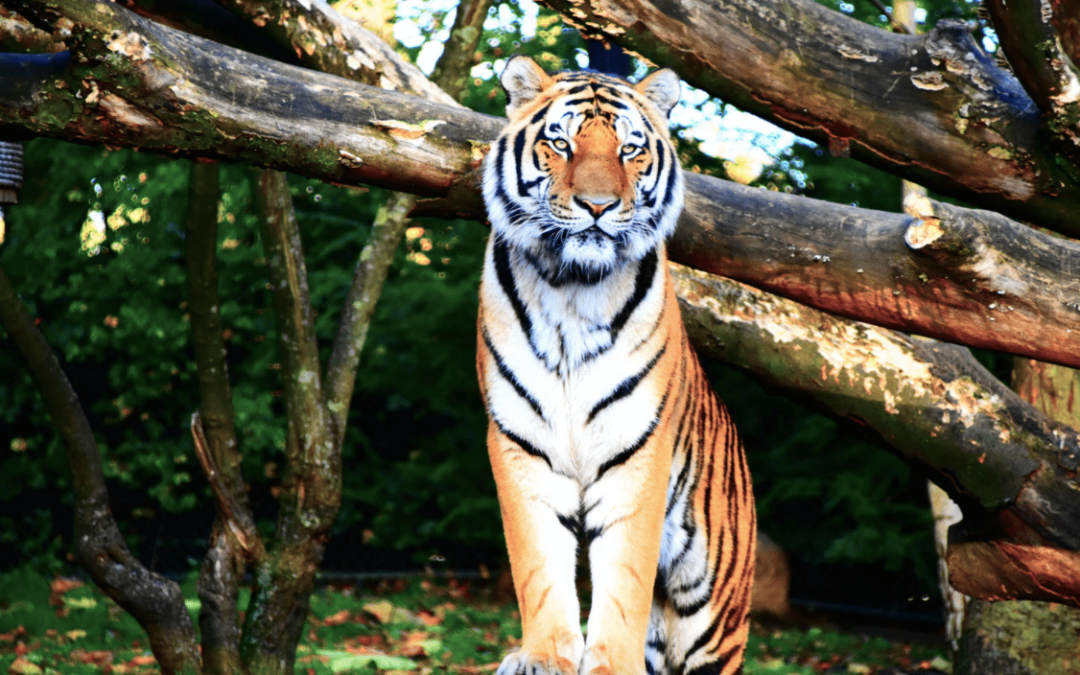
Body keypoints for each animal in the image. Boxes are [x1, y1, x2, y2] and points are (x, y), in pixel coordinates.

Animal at [477, 55, 756, 675]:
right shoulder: (520, 441)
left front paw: (608, 665)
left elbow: (625, 574)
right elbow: (538, 564)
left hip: (712, 613)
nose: (598, 207)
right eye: (560, 142)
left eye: (630, 149)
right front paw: (543, 656)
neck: (571, 289)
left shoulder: (638, 446)